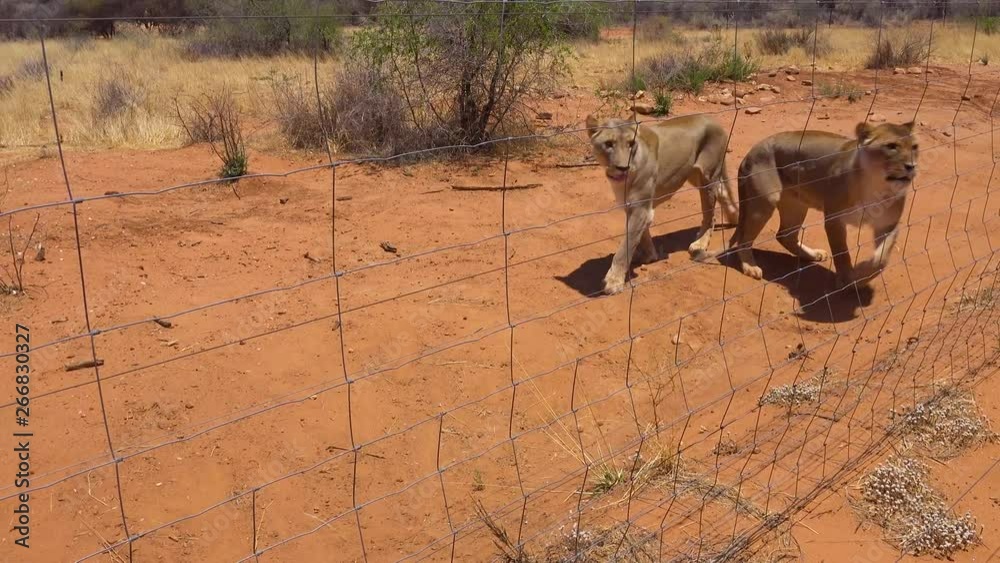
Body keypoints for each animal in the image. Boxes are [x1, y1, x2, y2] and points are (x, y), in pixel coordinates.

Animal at [585, 114, 739, 295]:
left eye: (631, 144)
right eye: (609, 144)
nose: (623, 168)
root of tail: (711, 118)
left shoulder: (640, 208)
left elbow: (626, 246)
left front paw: (614, 281)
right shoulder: (633, 207)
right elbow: (641, 235)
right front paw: (649, 255)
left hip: (707, 175)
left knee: (710, 214)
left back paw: (700, 243)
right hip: (696, 176)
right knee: (722, 192)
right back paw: (735, 217)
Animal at [728, 120, 918, 287]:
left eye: (914, 147)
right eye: (891, 146)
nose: (912, 166)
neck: (875, 184)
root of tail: (751, 152)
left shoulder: (888, 224)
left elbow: (881, 259)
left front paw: (861, 275)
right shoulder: (834, 220)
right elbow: (841, 252)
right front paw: (846, 277)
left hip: (796, 206)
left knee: (785, 235)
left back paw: (813, 255)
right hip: (764, 202)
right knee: (744, 239)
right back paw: (750, 267)